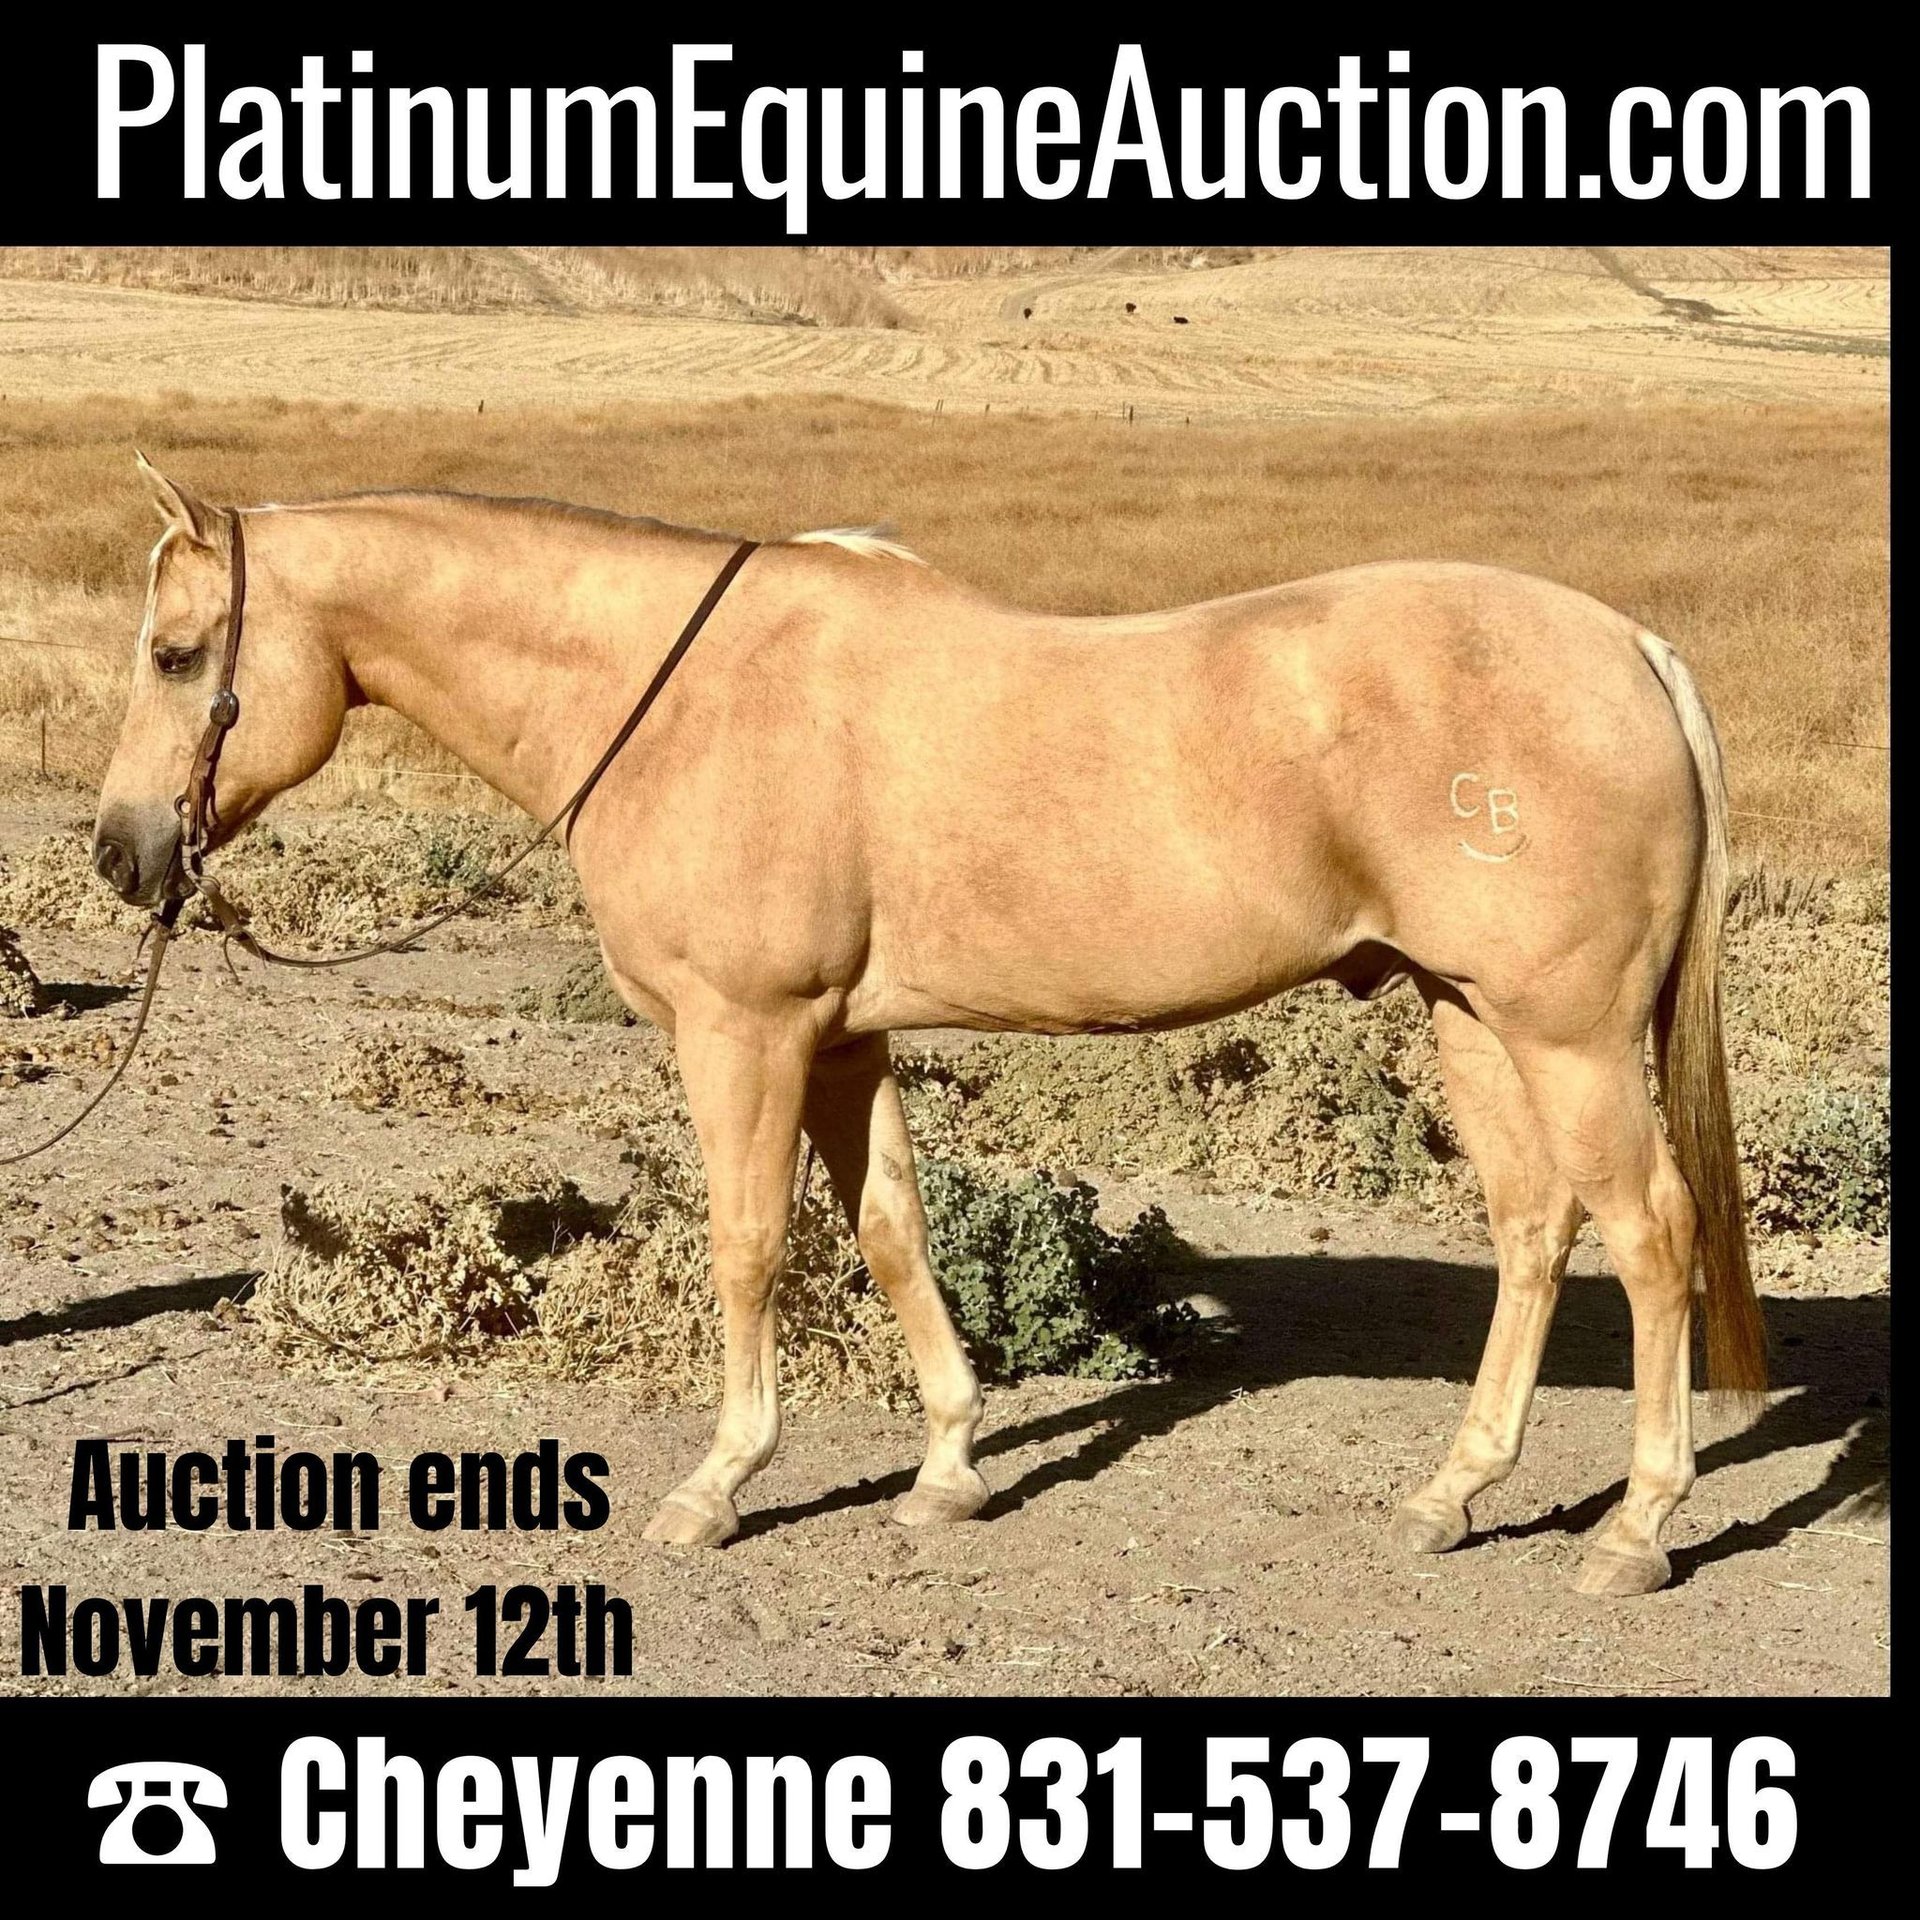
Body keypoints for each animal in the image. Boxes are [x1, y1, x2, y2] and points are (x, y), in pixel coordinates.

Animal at [93, 458, 1766, 1597]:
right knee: (1538, 1227)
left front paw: (720, 1484)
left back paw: (1635, 1525)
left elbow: (751, 1246)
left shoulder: (747, 1034)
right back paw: (1453, 1493)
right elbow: (894, 1230)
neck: (681, 697)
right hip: (1475, 1018)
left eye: (178, 656)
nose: (122, 854)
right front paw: (953, 1467)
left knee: (1650, 1232)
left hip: (1565, 1036)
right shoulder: (842, 1041)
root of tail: (1628, 649)